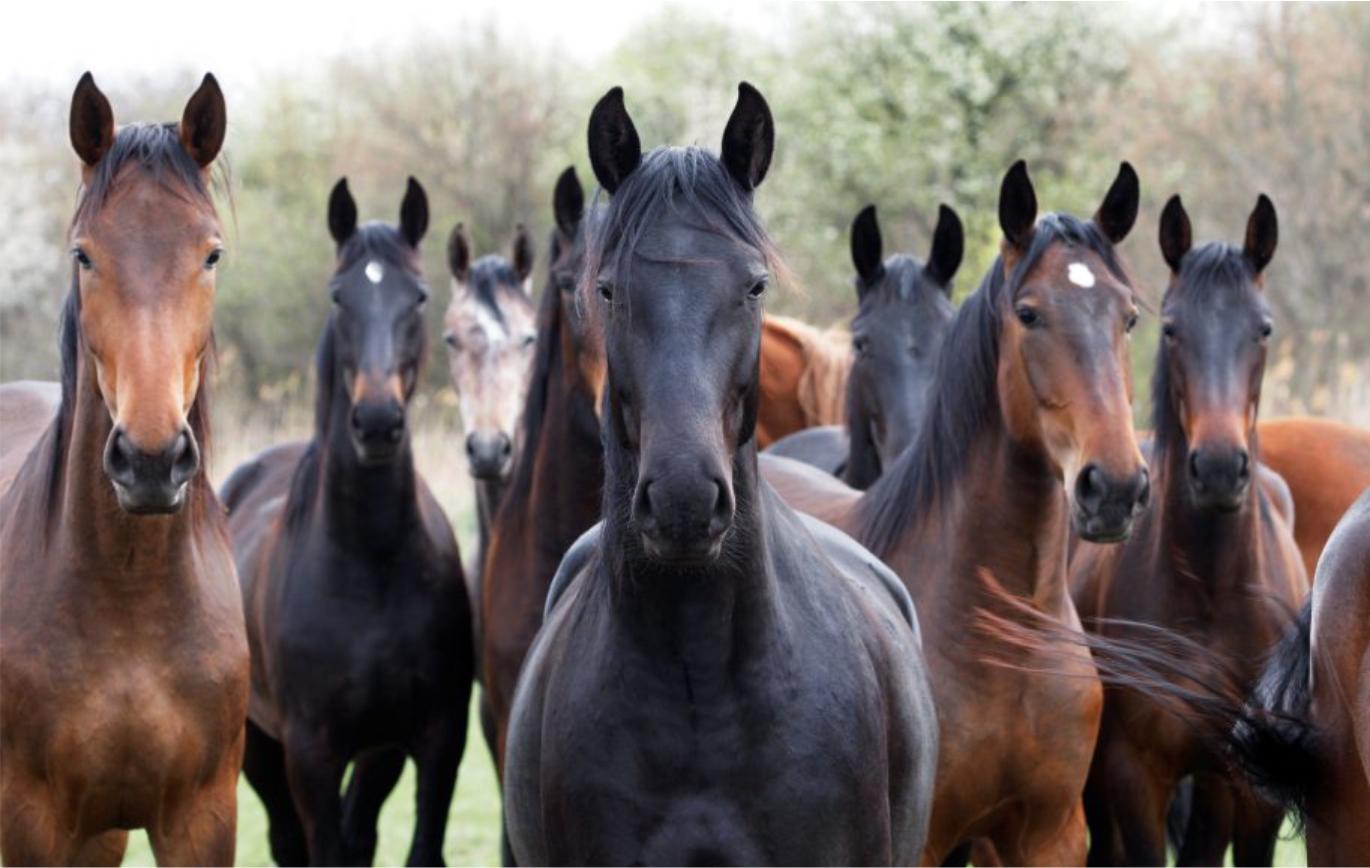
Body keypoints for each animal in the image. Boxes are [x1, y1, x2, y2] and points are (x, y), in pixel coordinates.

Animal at [221, 178, 473, 866]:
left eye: (419, 296)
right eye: (340, 296)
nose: (378, 422)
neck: (372, 561)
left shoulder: (435, 740)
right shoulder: (312, 752)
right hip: (259, 746)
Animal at [1069, 194, 1307, 866]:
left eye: (1264, 328)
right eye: (1172, 328)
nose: (1220, 467)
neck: (1211, 588)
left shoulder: (1251, 790)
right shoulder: (1135, 775)